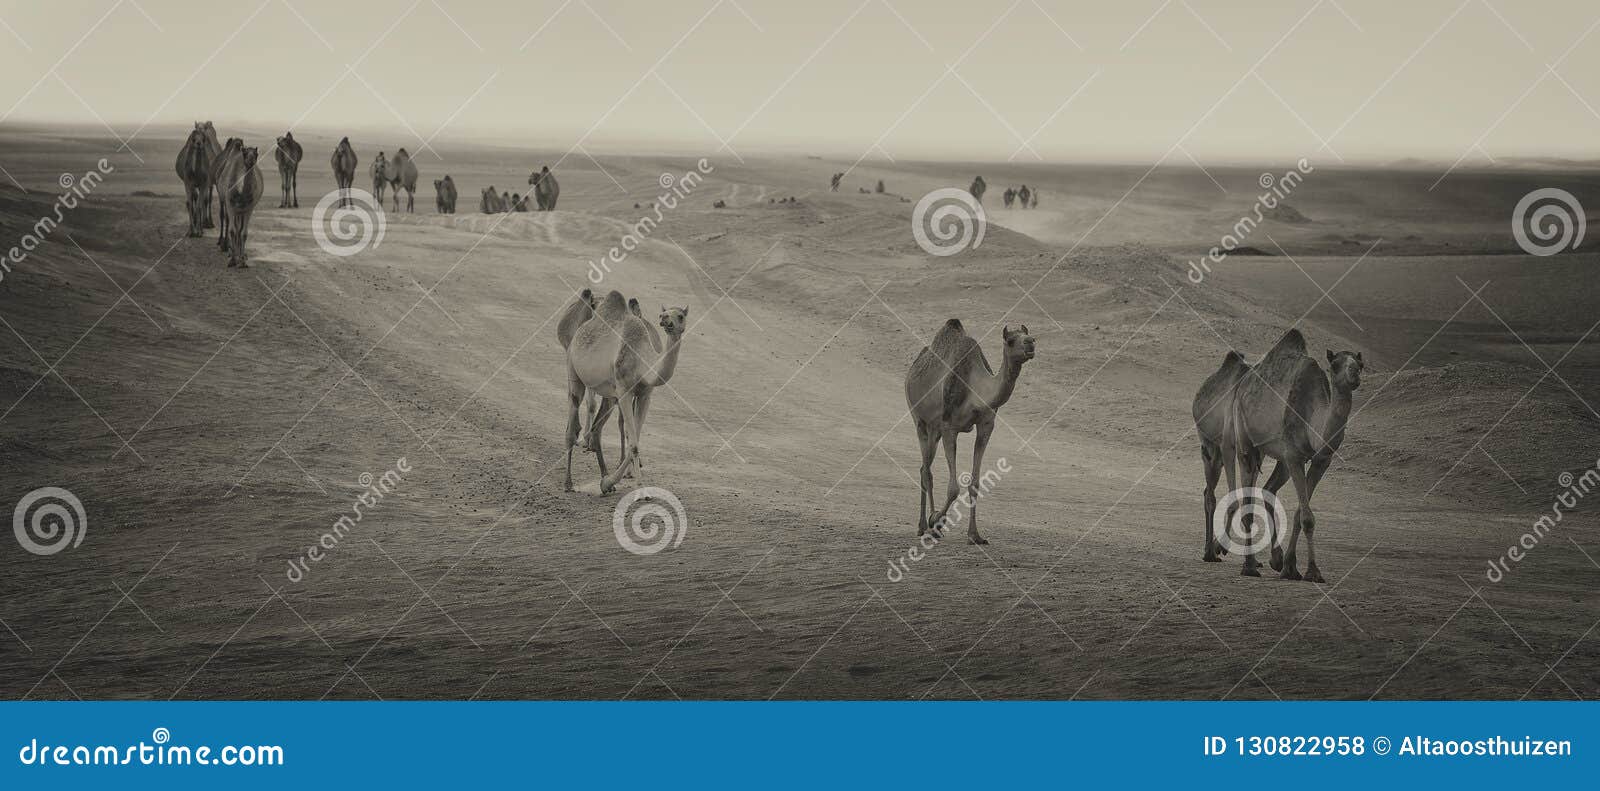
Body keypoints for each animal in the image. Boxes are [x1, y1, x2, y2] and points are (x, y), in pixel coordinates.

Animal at [564, 291, 687, 494]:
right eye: (664, 313)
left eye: (681, 316)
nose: (665, 320)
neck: (641, 360)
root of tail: (578, 333)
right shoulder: (624, 391)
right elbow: (634, 443)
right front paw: (641, 489)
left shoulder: (645, 395)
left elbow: (634, 438)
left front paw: (607, 483)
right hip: (574, 372)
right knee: (571, 426)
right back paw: (568, 483)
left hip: (608, 395)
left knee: (597, 428)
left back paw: (605, 478)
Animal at [905, 319, 1035, 544]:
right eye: (1010, 340)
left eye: (1031, 337)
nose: (1030, 343)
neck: (975, 392)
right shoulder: (949, 427)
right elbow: (953, 488)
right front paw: (936, 520)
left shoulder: (986, 426)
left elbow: (974, 484)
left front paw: (975, 535)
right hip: (919, 420)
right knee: (926, 471)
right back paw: (926, 527)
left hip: (934, 431)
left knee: (924, 469)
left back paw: (924, 526)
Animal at [1225, 329, 1364, 581]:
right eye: (1335, 364)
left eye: (1360, 364)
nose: (1354, 375)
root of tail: (1243, 385)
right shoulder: (1294, 457)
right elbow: (1307, 517)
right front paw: (1313, 571)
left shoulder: (1321, 460)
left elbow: (1301, 513)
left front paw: (1290, 567)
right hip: (1245, 436)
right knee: (1248, 495)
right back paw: (1249, 566)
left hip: (1278, 457)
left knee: (1268, 489)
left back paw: (1275, 559)